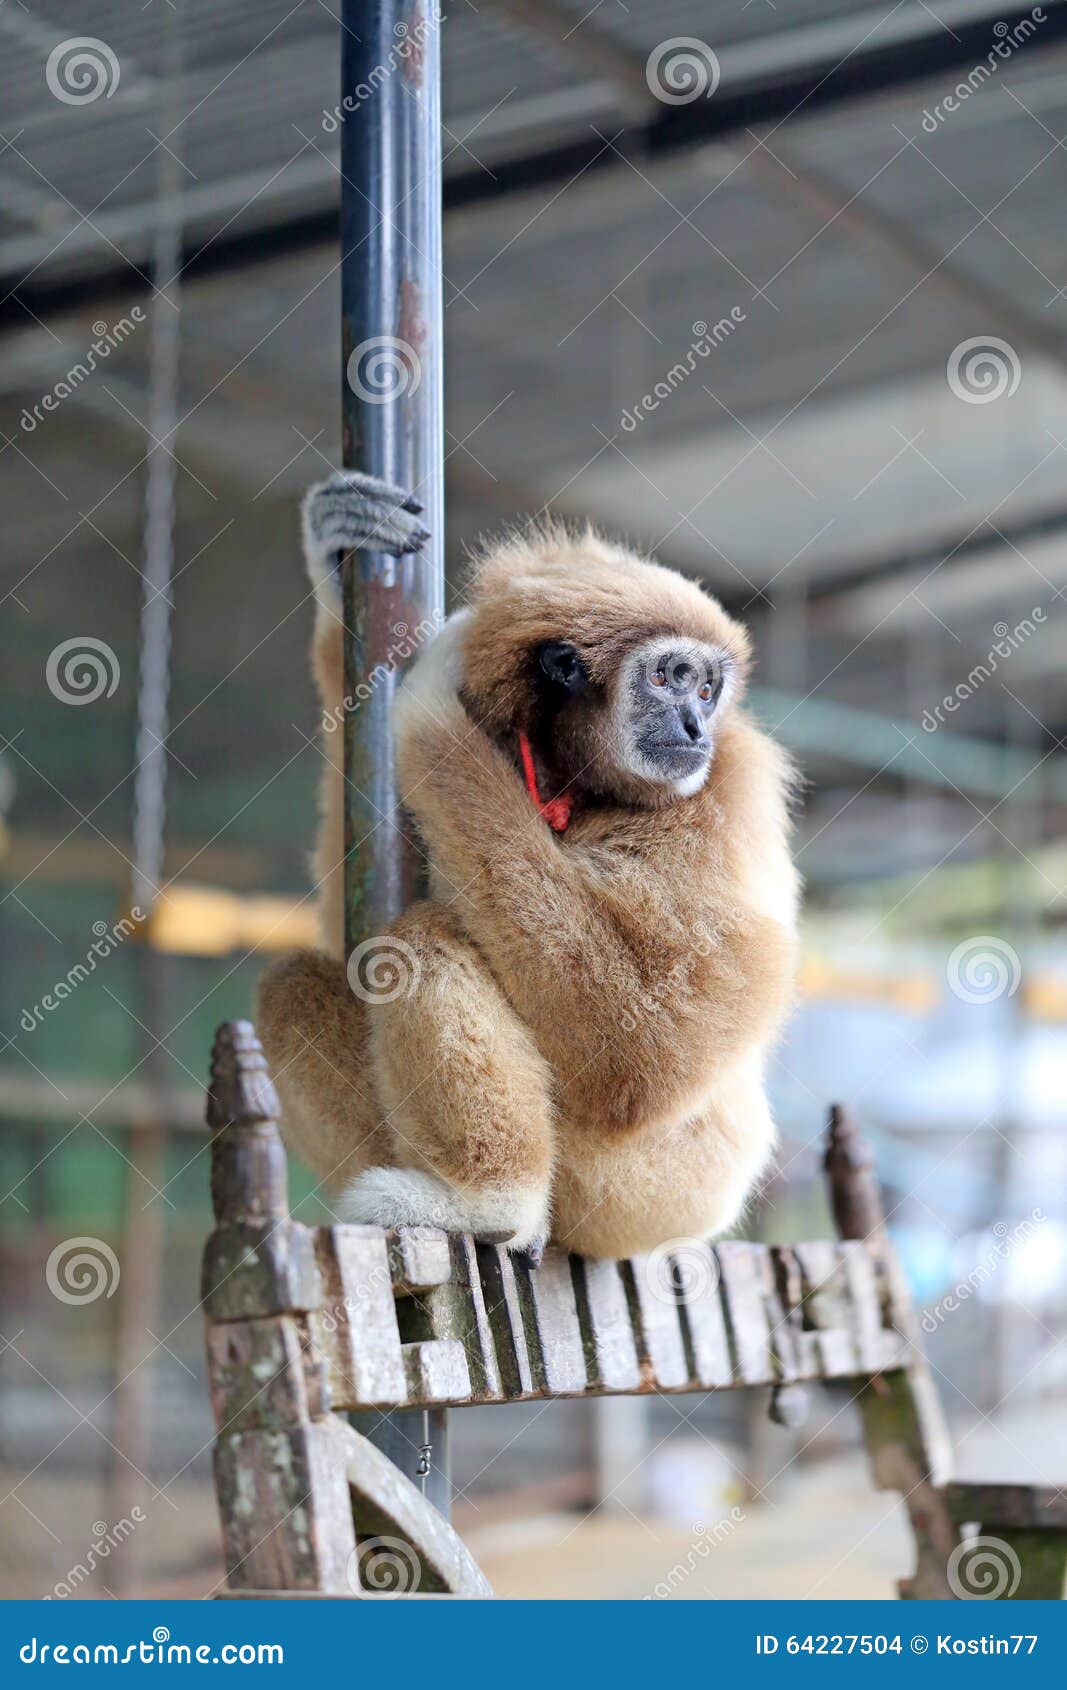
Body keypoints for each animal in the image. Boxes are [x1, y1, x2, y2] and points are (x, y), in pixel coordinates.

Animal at [256, 470, 799, 1262]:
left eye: (707, 690)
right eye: (673, 679)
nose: (697, 725)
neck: (580, 779)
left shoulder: (727, 795)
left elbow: (642, 1053)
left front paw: (425, 712)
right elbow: (343, 927)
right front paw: (332, 566)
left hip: (647, 1189)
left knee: (415, 941)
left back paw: (488, 1202)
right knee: (295, 980)